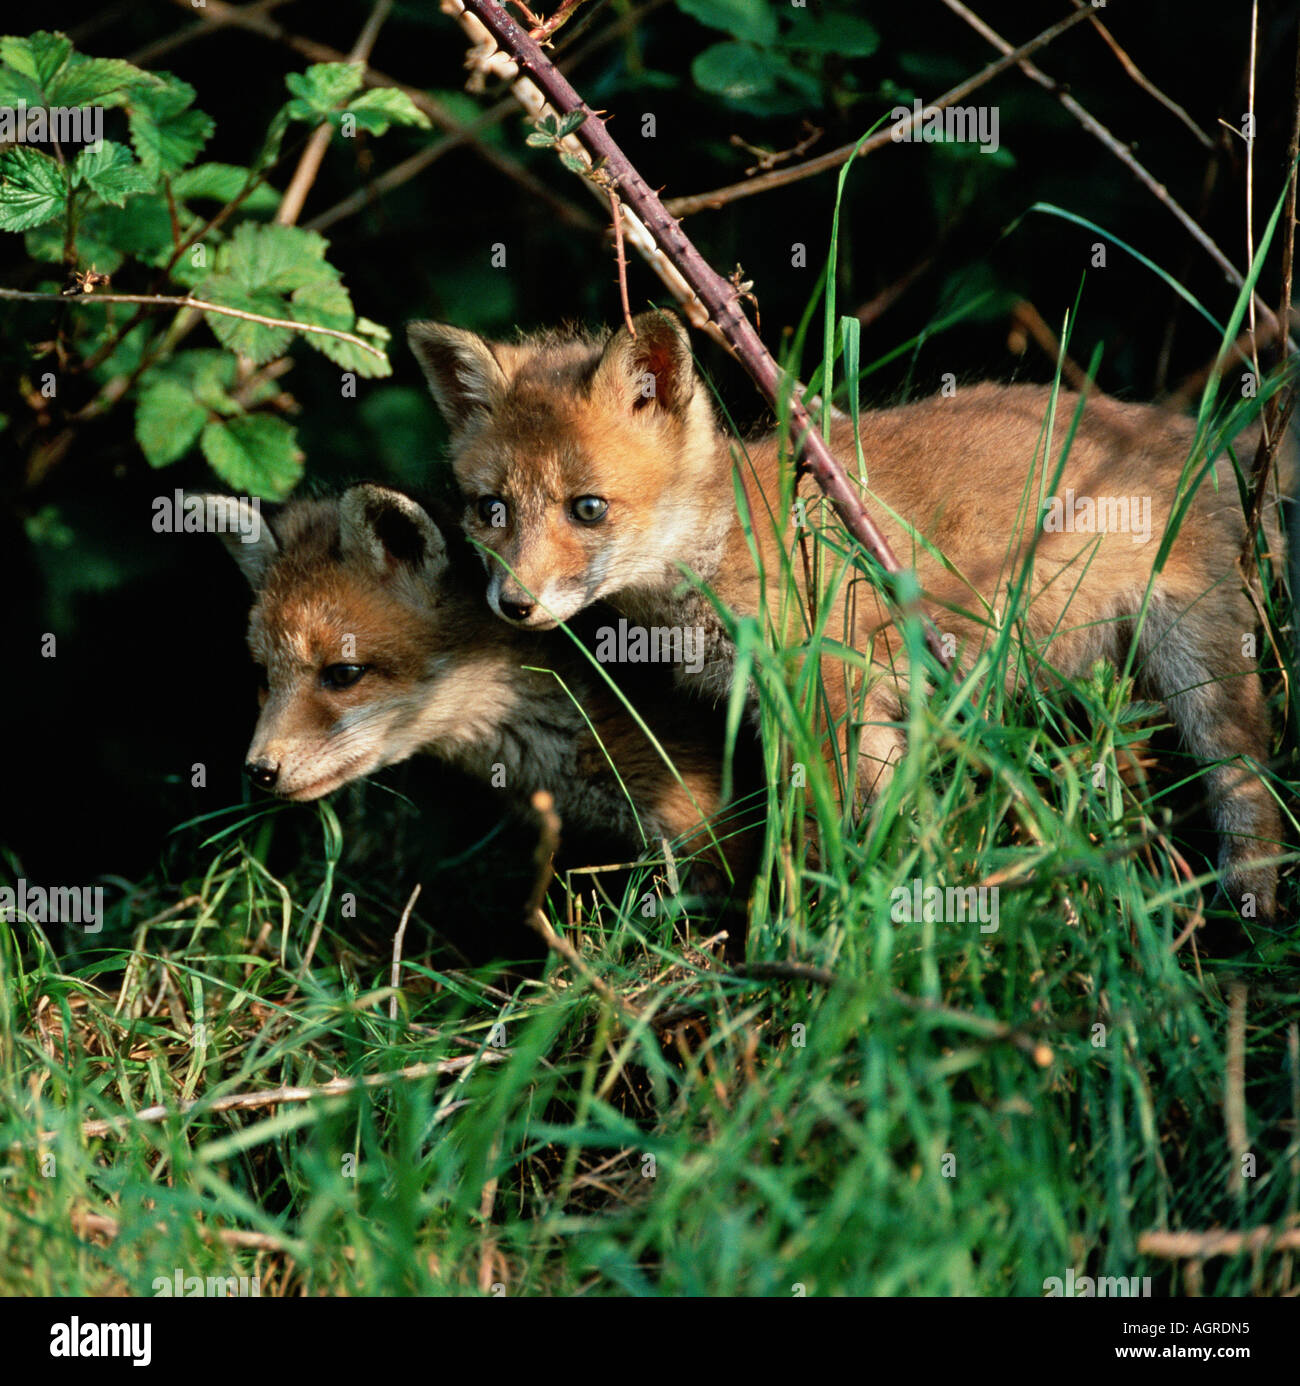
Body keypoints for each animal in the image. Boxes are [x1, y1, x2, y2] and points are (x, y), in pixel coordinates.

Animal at [407, 311, 1294, 923]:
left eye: (587, 508)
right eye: (490, 509)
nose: (514, 604)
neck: (726, 555)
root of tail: (1197, 432)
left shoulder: (830, 693)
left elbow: (821, 837)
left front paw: (809, 936)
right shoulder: (841, 713)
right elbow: (887, 824)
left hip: (1202, 667)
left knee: (1249, 786)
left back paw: (1248, 911)